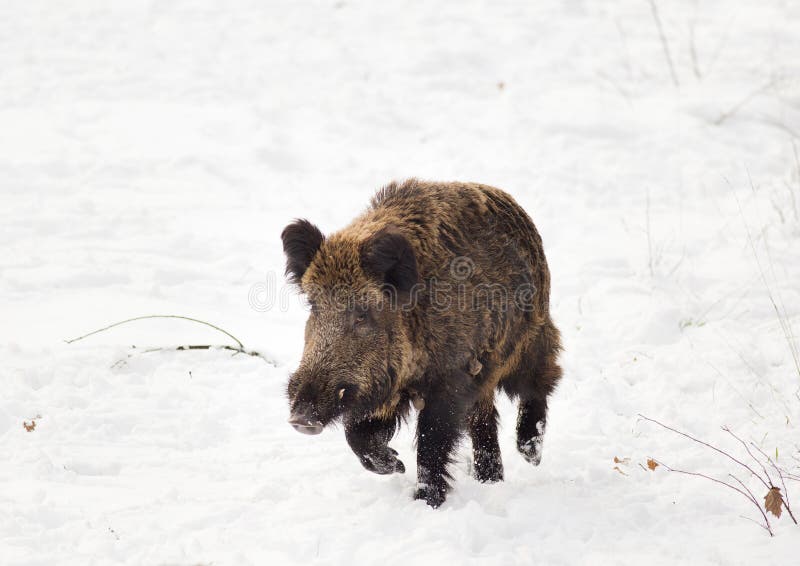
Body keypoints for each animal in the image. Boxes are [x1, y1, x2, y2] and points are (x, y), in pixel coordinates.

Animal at [281, 179, 562, 507]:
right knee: (483, 421)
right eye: (314, 306)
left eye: (362, 313)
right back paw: (491, 481)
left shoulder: (451, 381)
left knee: (543, 379)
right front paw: (395, 465)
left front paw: (426, 501)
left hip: (528, 341)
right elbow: (357, 435)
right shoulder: (385, 390)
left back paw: (530, 453)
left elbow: (431, 443)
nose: (301, 418)